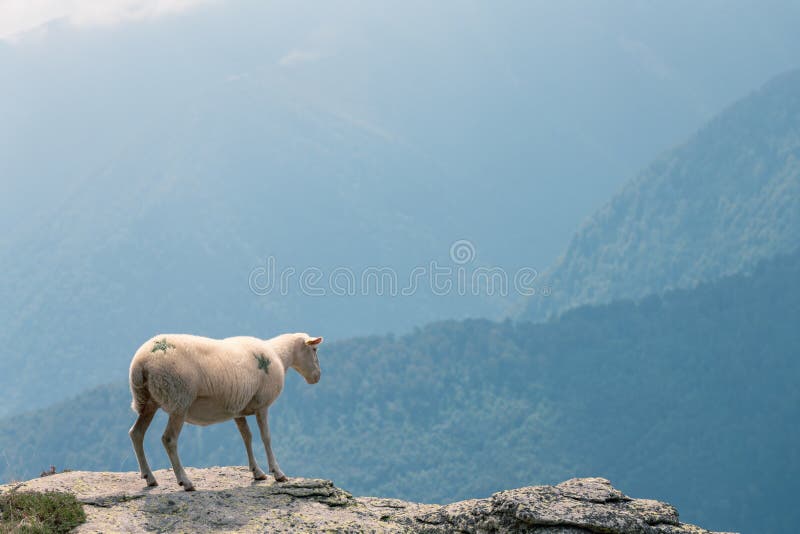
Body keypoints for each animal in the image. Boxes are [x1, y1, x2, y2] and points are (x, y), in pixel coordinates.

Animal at [128, 332, 323, 491]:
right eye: (314, 349)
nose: (317, 377)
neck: (280, 356)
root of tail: (141, 364)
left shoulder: (238, 409)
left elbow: (247, 437)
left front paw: (257, 472)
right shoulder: (262, 405)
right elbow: (266, 437)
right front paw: (278, 473)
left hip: (148, 402)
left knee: (136, 433)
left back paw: (149, 477)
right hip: (179, 400)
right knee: (169, 439)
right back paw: (185, 481)